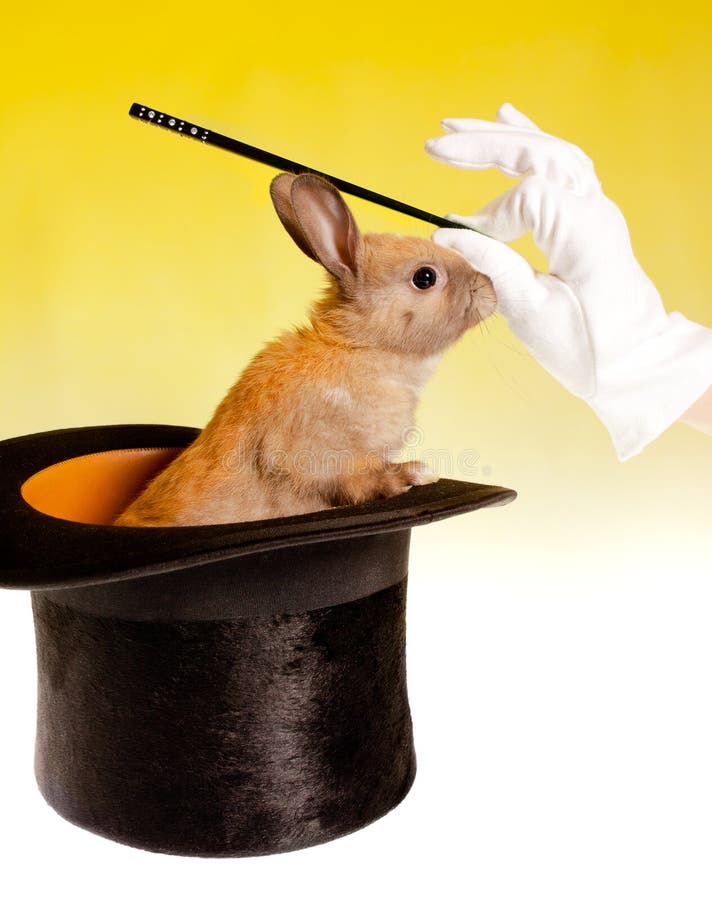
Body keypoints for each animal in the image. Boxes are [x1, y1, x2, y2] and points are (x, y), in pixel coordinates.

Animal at [114, 173, 496, 527]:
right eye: (425, 277)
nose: (490, 287)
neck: (359, 346)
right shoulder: (320, 457)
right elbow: (359, 483)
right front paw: (416, 473)